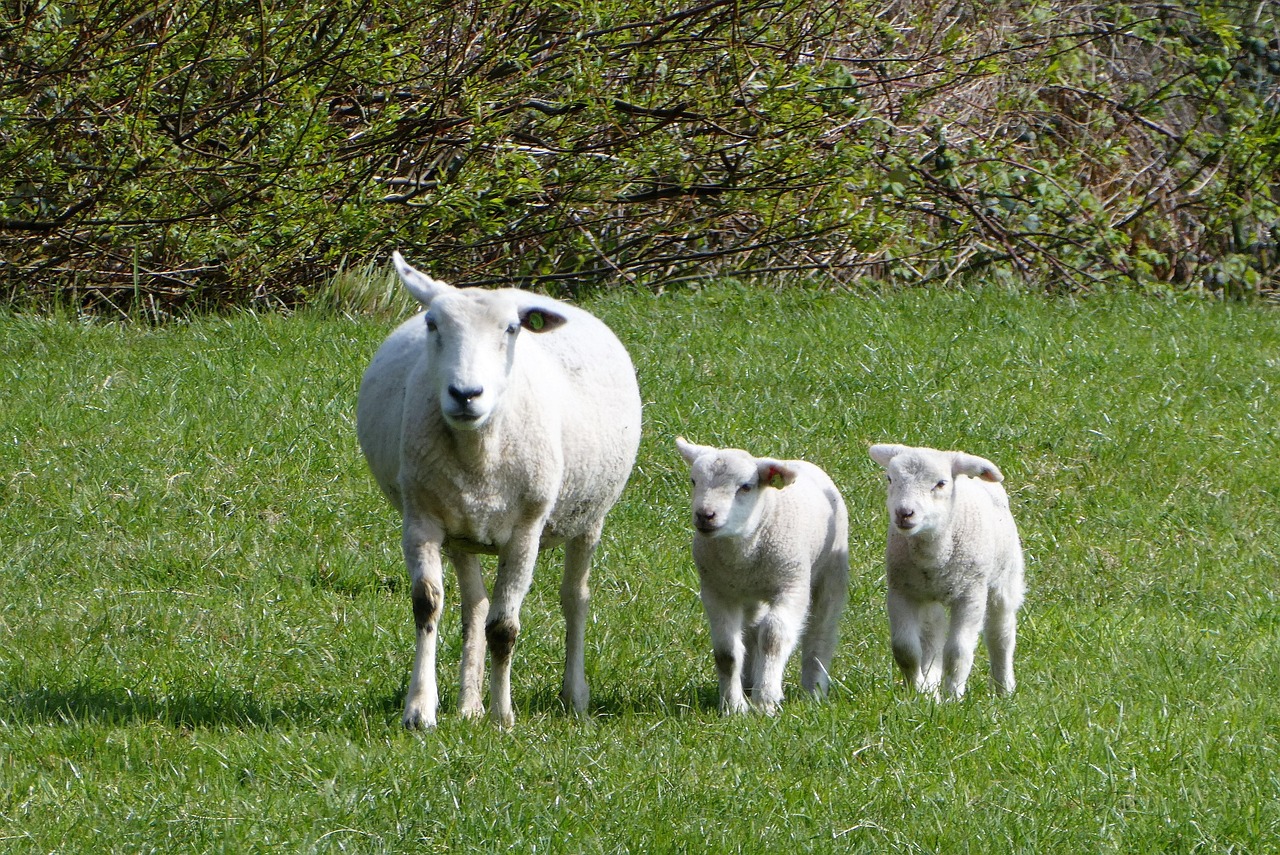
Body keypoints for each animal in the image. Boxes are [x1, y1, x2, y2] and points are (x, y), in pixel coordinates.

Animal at [356, 252, 642, 728]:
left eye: (511, 329)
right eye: (432, 324)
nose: (465, 394)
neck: (478, 451)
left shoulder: (526, 530)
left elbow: (504, 627)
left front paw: (503, 717)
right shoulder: (421, 519)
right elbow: (427, 605)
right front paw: (420, 710)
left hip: (589, 516)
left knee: (574, 598)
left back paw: (574, 696)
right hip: (459, 528)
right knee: (474, 606)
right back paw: (468, 703)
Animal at [675, 438, 850, 715]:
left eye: (746, 487)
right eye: (694, 481)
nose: (705, 515)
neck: (742, 555)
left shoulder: (792, 585)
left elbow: (773, 638)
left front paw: (766, 701)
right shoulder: (717, 591)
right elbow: (726, 652)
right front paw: (733, 707)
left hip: (830, 572)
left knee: (820, 630)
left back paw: (813, 690)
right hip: (750, 594)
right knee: (752, 630)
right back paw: (749, 683)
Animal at [867, 443, 1026, 700]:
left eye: (941, 483)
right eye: (890, 478)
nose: (904, 513)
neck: (933, 557)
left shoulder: (971, 595)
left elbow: (958, 652)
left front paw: (953, 697)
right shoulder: (901, 591)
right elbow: (905, 649)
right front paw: (919, 692)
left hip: (1005, 576)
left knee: (1001, 633)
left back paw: (1005, 689)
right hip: (928, 596)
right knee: (933, 635)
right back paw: (931, 686)